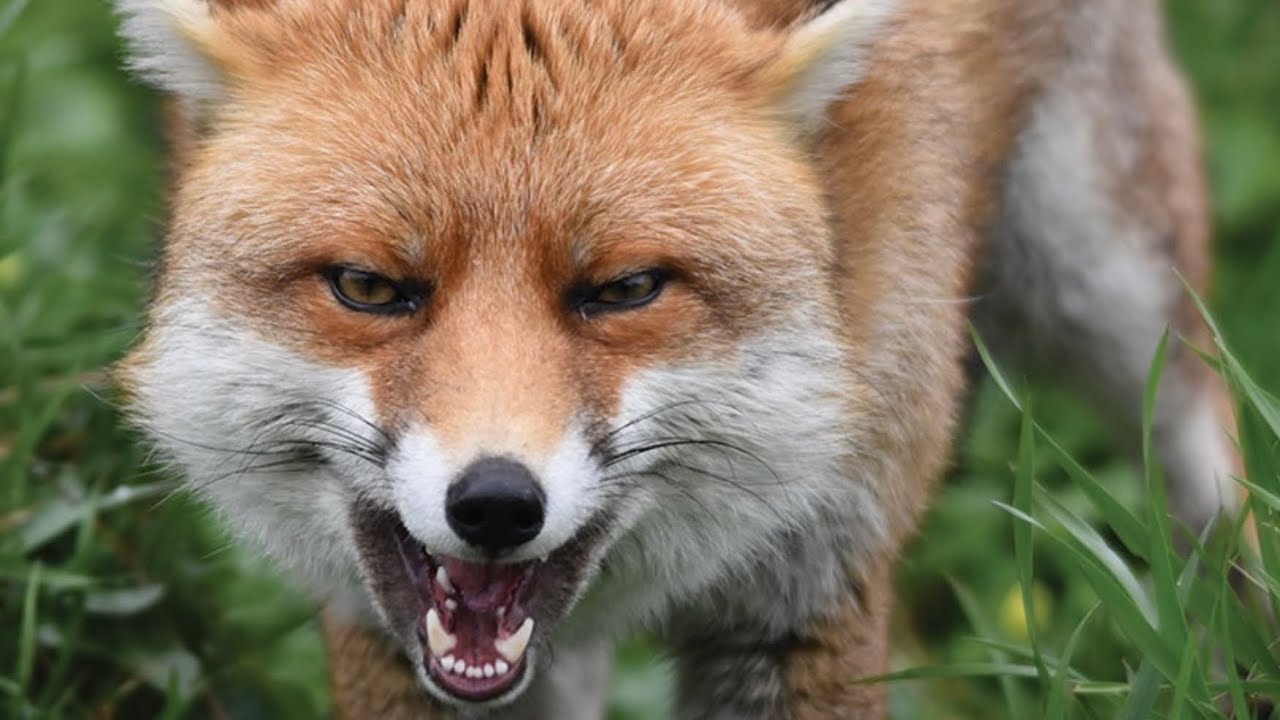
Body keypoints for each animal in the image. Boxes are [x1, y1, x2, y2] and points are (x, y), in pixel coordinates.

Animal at [112, 0, 1240, 717]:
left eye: (623, 290)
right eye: (368, 288)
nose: (495, 504)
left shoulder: (812, 585)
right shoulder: (379, 626)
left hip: (1104, 286)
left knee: (1211, 455)